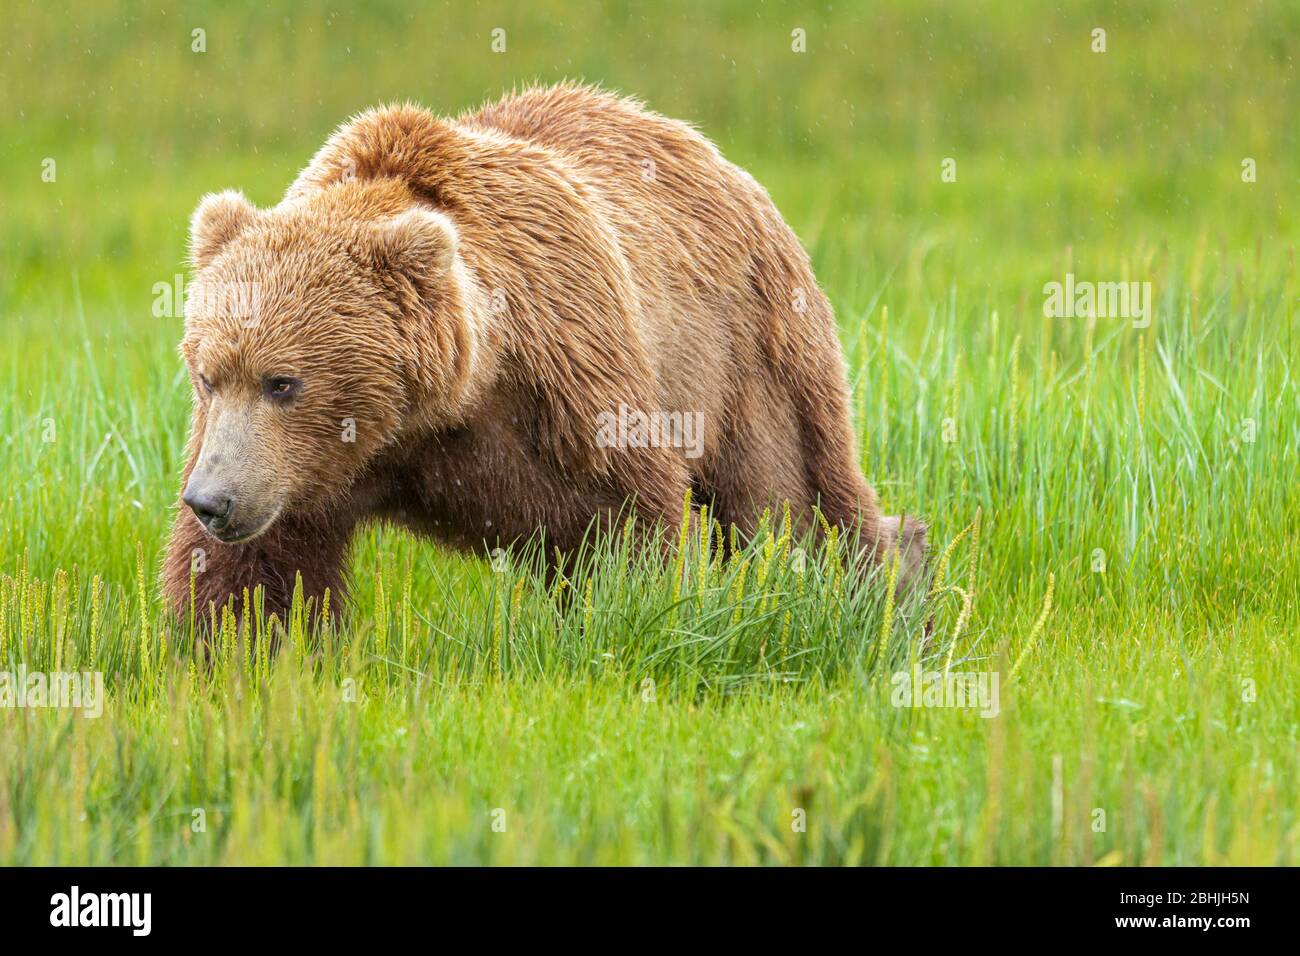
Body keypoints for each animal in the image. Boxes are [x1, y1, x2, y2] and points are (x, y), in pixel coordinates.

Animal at [162, 83, 926, 624]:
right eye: (208, 377)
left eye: (283, 381)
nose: (210, 499)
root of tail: (723, 164)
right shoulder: (301, 469)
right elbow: (253, 572)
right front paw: (233, 655)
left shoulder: (568, 381)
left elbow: (632, 519)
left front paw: (635, 610)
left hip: (744, 353)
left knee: (790, 500)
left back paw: (888, 577)